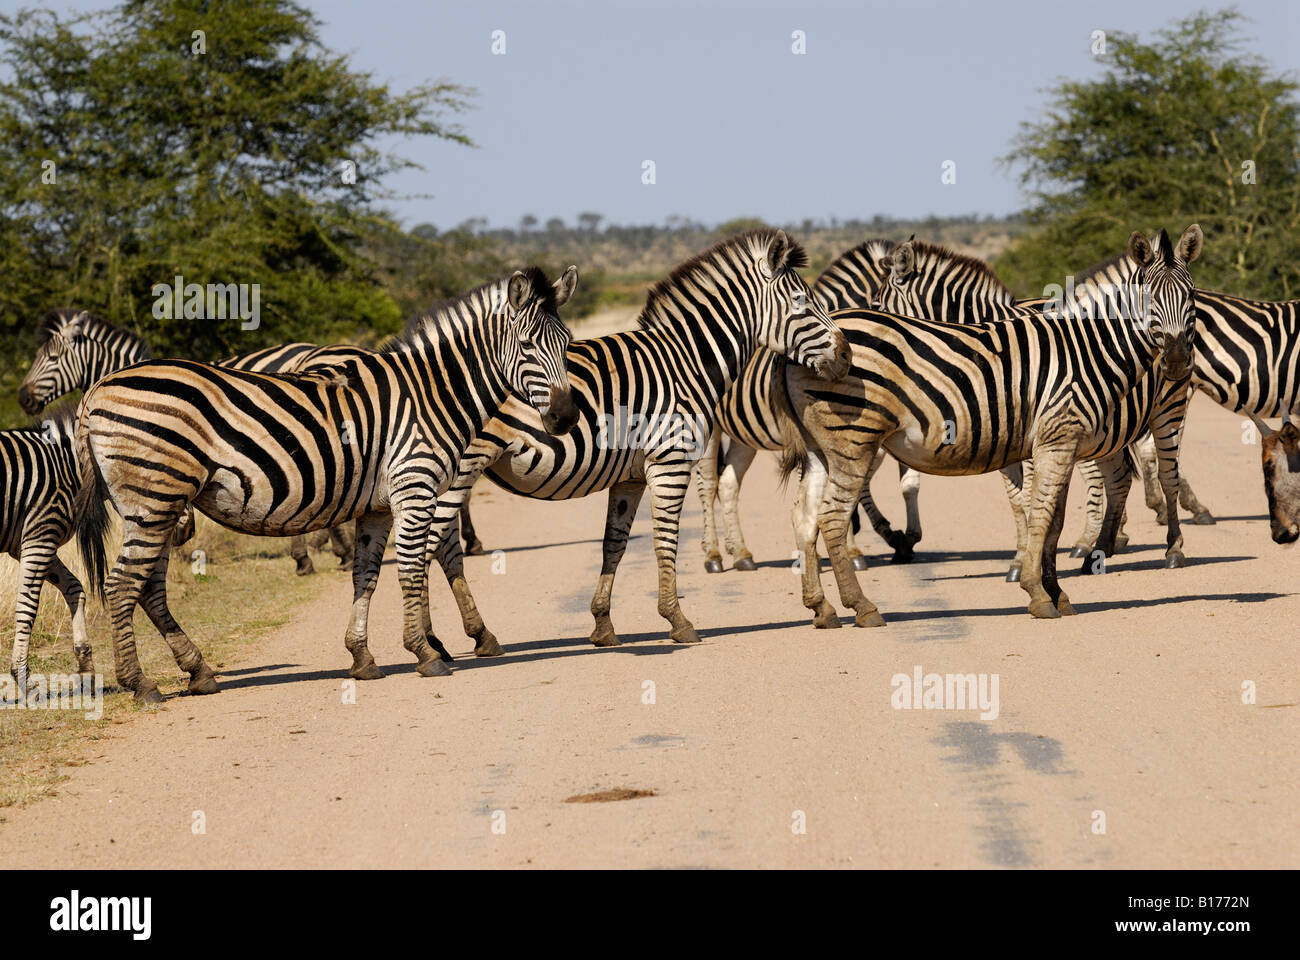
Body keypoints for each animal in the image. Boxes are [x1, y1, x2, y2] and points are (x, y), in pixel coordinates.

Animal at [0, 408, 95, 694]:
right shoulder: (40, 537)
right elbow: (27, 607)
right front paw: (22, 677)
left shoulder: (30, 542)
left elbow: (74, 587)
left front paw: (85, 666)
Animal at [71, 266, 580, 702]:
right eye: (528, 345)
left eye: (568, 343)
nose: (565, 417)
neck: (432, 393)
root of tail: (96, 390)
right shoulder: (414, 488)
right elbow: (411, 569)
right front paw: (425, 653)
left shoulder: (377, 506)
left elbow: (367, 575)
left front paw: (362, 657)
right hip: (155, 498)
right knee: (122, 585)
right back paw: (140, 684)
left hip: (153, 503)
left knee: (149, 588)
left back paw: (198, 672)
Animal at [395, 230, 849, 661]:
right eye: (802, 303)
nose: (846, 357)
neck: (685, 362)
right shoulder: (670, 461)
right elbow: (665, 539)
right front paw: (677, 620)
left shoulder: (630, 476)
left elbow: (614, 544)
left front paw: (602, 625)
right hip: (452, 472)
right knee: (428, 547)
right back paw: (441, 641)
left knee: (438, 546)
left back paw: (462, 637)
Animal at [775, 226, 1202, 625]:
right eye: (1149, 300)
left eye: (1191, 298)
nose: (1176, 361)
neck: (1087, 348)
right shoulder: (1054, 441)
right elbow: (1037, 511)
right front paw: (1037, 591)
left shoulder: (1059, 442)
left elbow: (1051, 519)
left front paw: (1053, 590)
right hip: (854, 440)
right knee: (831, 517)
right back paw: (862, 606)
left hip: (820, 448)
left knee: (804, 517)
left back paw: (822, 608)